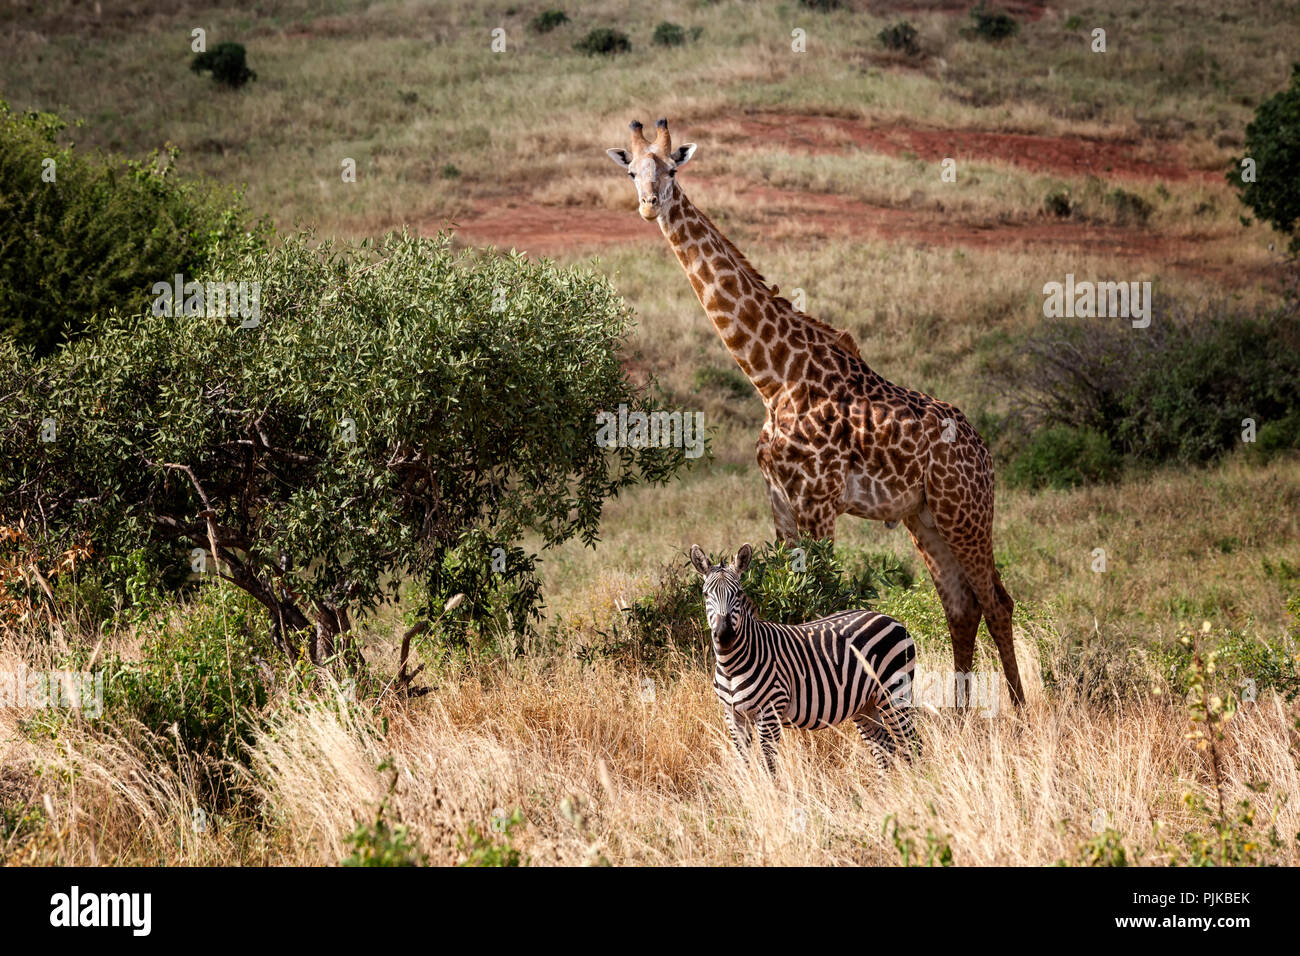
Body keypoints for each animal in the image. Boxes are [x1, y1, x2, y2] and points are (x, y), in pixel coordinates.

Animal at [608, 115, 1024, 707]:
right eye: (632, 172)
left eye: (671, 169)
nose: (649, 204)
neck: (772, 375)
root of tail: (985, 453)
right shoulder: (781, 501)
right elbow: (780, 595)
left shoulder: (820, 502)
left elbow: (822, 600)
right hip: (923, 518)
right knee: (961, 607)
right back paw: (963, 718)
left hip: (964, 511)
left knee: (996, 601)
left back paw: (1019, 713)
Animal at [691, 541, 915, 775]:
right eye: (706, 595)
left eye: (738, 593)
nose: (725, 635)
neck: (731, 666)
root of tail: (889, 617)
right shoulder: (733, 715)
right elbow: (744, 763)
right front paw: (749, 785)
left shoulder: (770, 712)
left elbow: (769, 765)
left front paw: (770, 786)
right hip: (865, 704)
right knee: (885, 747)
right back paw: (884, 785)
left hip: (894, 693)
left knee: (911, 745)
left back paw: (916, 781)